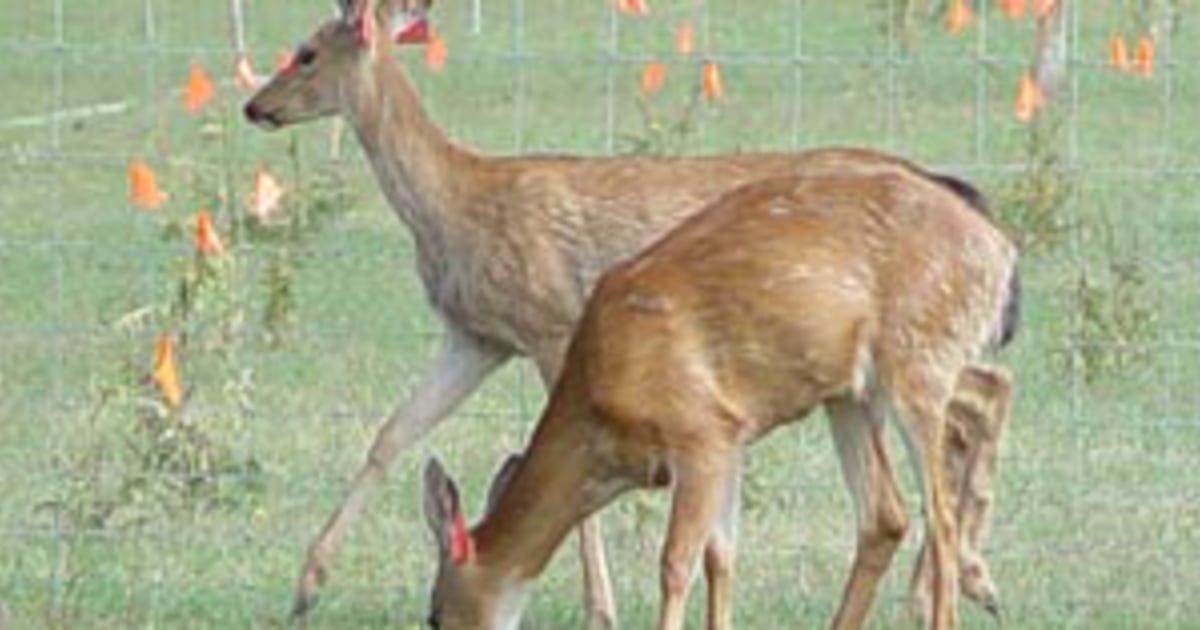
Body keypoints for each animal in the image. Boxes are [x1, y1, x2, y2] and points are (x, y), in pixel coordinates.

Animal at [420, 171, 1021, 630]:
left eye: (435, 614)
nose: (435, 616)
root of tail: (1000, 249)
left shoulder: (699, 429)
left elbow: (676, 562)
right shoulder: (733, 434)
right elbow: (721, 557)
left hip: (919, 361)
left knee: (939, 519)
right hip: (851, 395)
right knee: (885, 516)